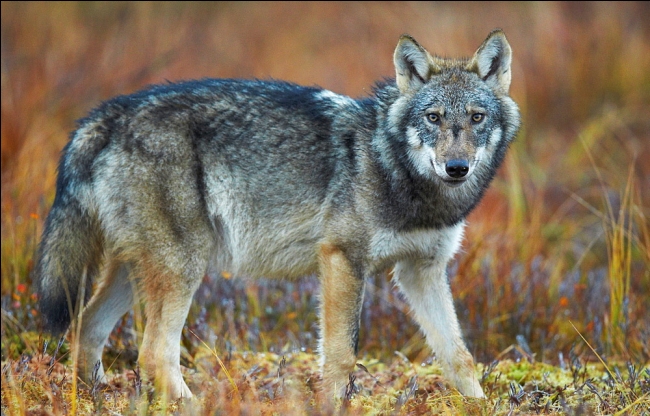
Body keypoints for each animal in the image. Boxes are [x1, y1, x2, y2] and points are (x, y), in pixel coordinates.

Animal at [34, 29, 520, 400]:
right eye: (434, 118)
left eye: (476, 118)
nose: (456, 167)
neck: (396, 168)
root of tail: (105, 115)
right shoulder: (342, 260)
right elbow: (342, 354)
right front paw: (333, 405)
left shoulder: (422, 271)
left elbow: (459, 355)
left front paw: (479, 405)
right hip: (182, 267)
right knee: (153, 353)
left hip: (135, 272)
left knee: (87, 329)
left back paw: (96, 397)